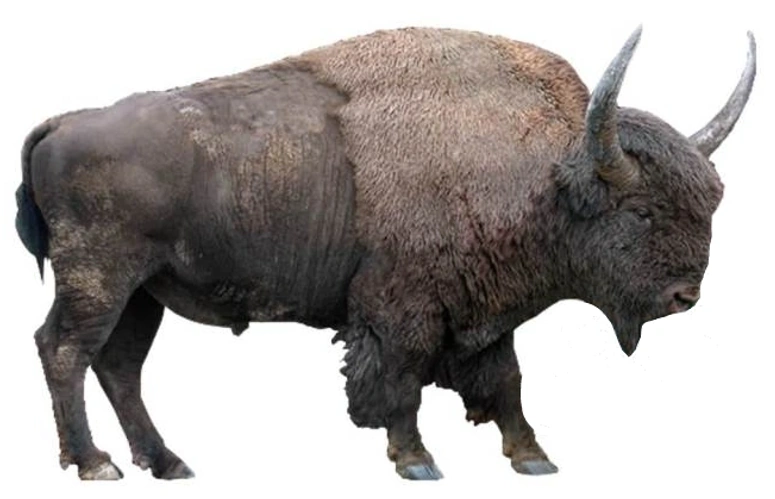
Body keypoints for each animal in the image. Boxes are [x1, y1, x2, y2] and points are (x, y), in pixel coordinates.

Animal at [15, 26, 756, 481]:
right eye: (640, 210)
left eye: (711, 205)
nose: (684, 296)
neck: (539, 173)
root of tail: (64, 122)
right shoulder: (398, 311)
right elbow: (399, 382)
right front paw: (416, 459)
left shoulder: (486, 313)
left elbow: (505, 381)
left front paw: (532, 456)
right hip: (101, 278)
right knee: (65, 350)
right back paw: (96, 463)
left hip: (145, 292)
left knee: (119, 365)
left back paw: (167, 462)